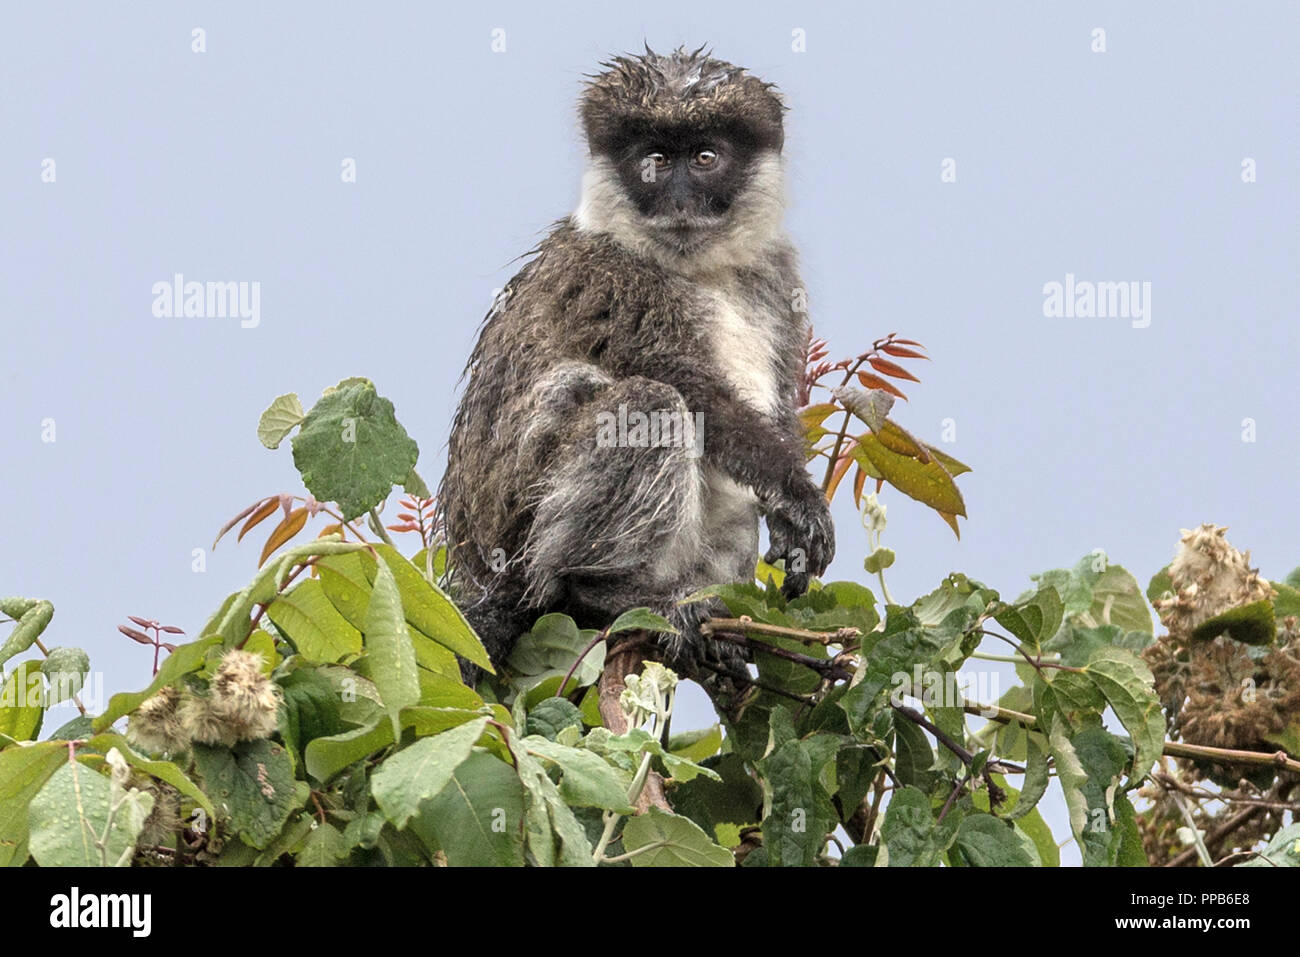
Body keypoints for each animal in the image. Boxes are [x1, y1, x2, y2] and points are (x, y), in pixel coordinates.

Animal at [438, 45, 834, 684]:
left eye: (704, 157)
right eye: (654, 160)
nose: (678, 200)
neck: (702, 270)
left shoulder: (778, 276)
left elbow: (775, 404)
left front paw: (789, 515)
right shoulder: (610, 277)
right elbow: (694, 393)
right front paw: (795, 494)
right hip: (523, 539)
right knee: (650, 405)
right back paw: (598, 591)